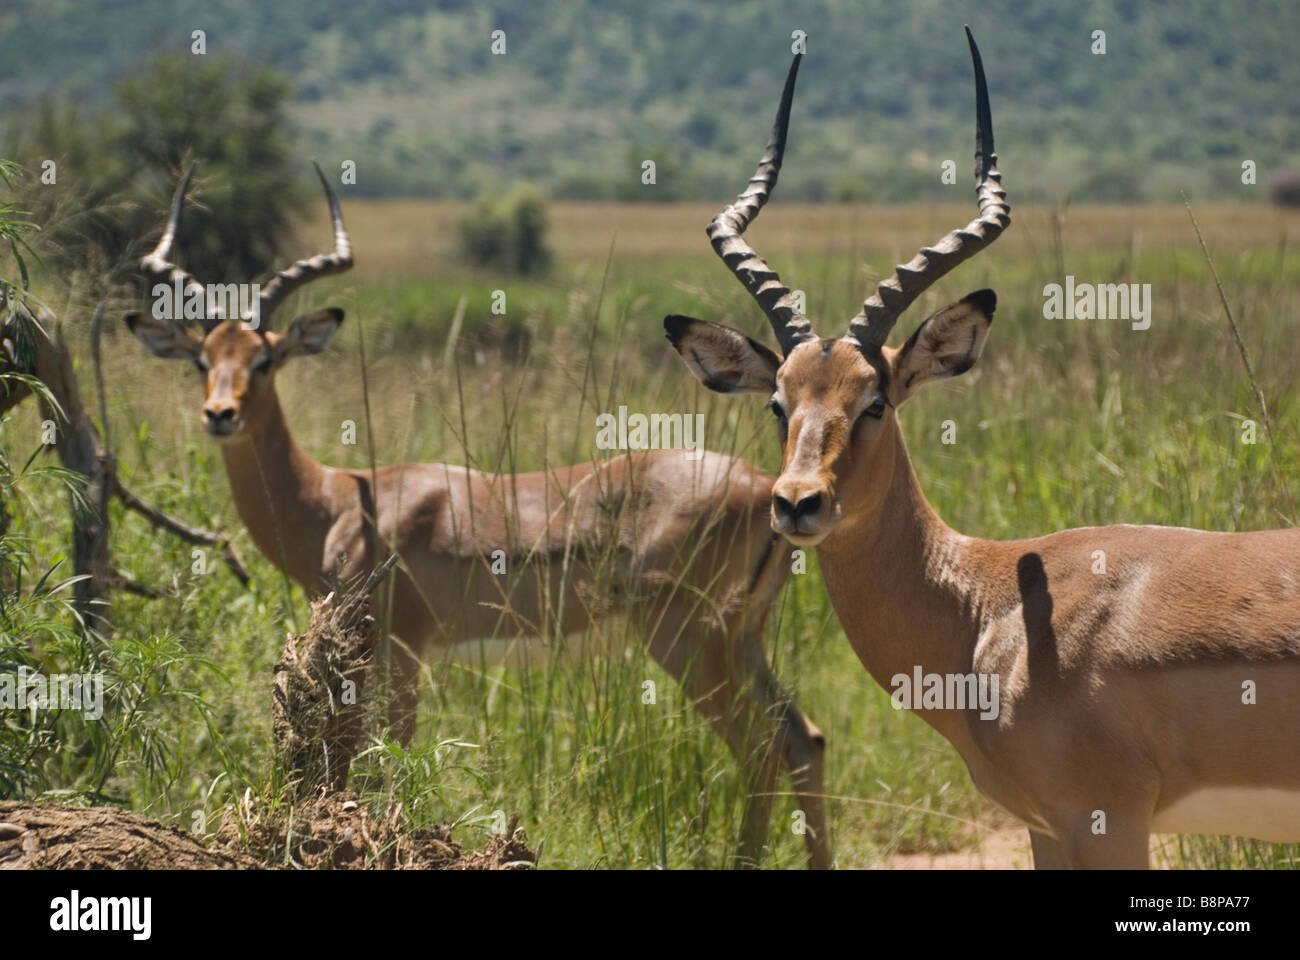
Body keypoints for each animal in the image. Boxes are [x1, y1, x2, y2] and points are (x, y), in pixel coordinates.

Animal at [123, 164, 829, 869]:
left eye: (264, 360)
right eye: (202, 360)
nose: (220, 415)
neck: (333, 501)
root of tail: (766, 487)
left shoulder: (402, 650)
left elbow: (387, 760)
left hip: (689, 642)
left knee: (762, 750)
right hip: (740, 641)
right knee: (805, 739)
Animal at [666, 28, 1300, 868]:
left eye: (874, 402)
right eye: (780, 403)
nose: (798, 503)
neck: (985, 607)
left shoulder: (1107, 819)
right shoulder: (1046, 827)